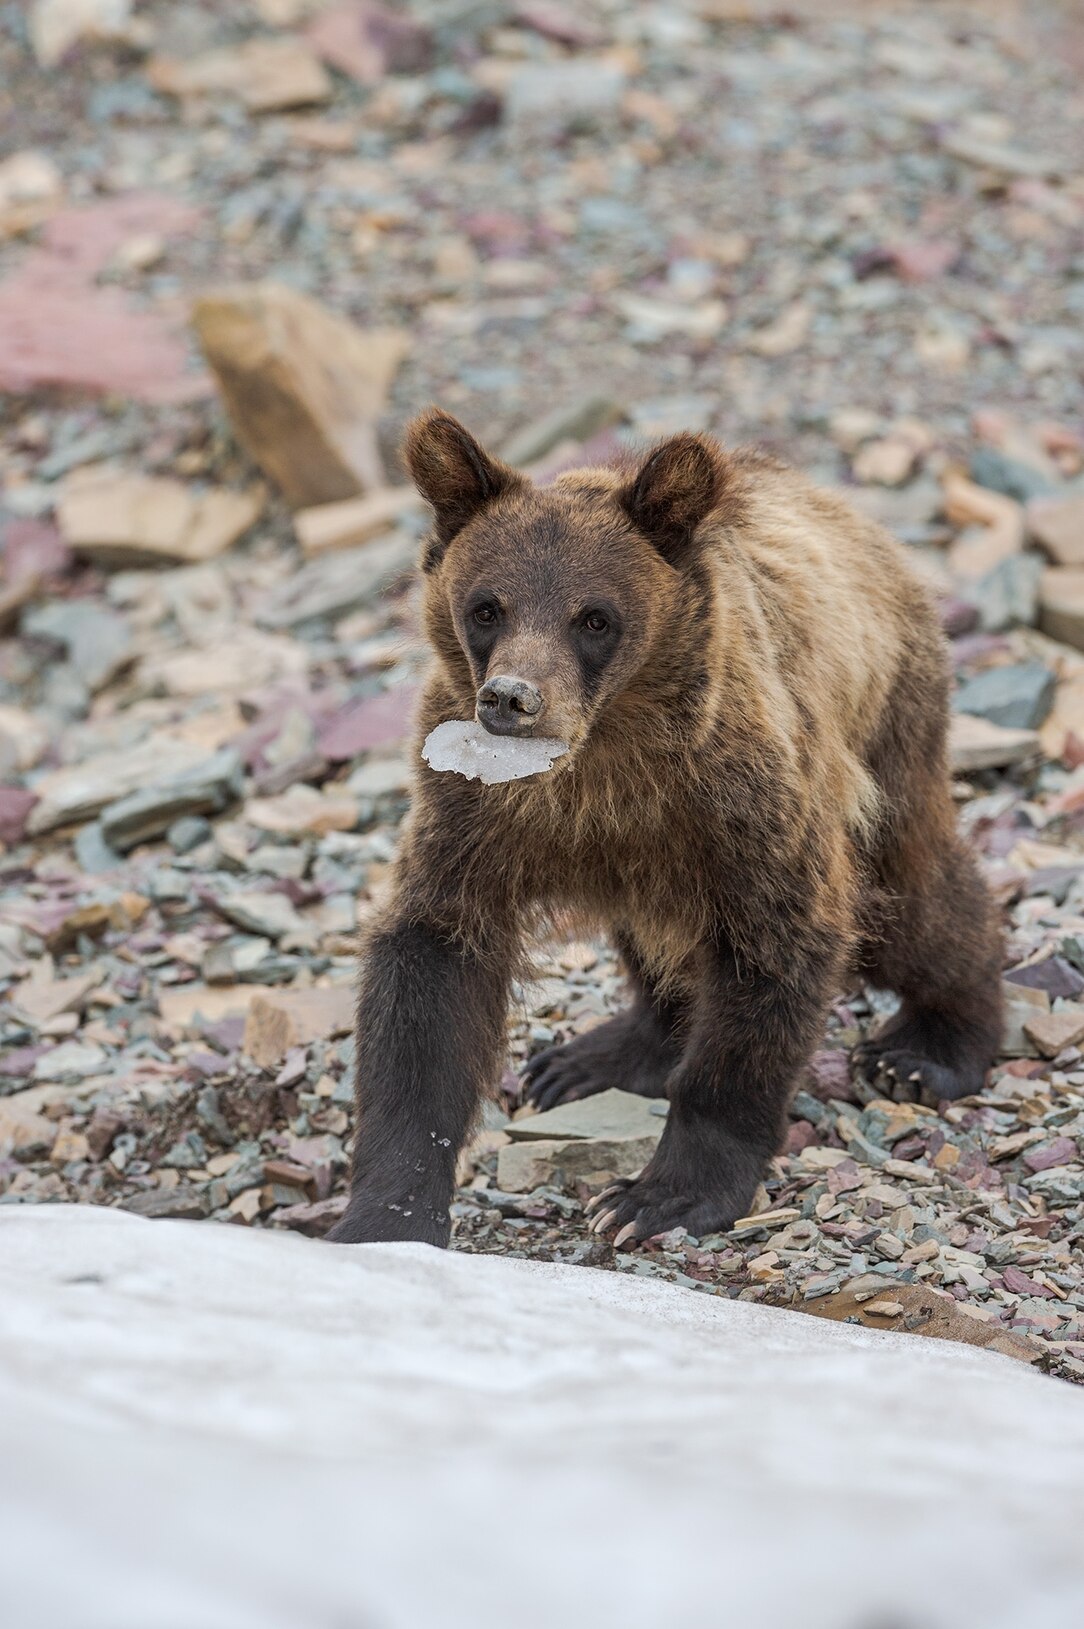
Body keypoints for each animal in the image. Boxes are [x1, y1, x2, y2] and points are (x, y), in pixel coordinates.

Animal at [328, 408, 1003, 1249]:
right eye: (487, 606)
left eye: (594, 617)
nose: (511, 698)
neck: (601, 766)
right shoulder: (475, 813)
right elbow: (430, 969)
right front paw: (384, 1214)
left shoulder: (743, 797)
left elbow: (776, 948)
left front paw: (655, 1198)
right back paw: (593, 1058)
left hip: (886, 727)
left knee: (912, 899)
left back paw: (932, 1045)